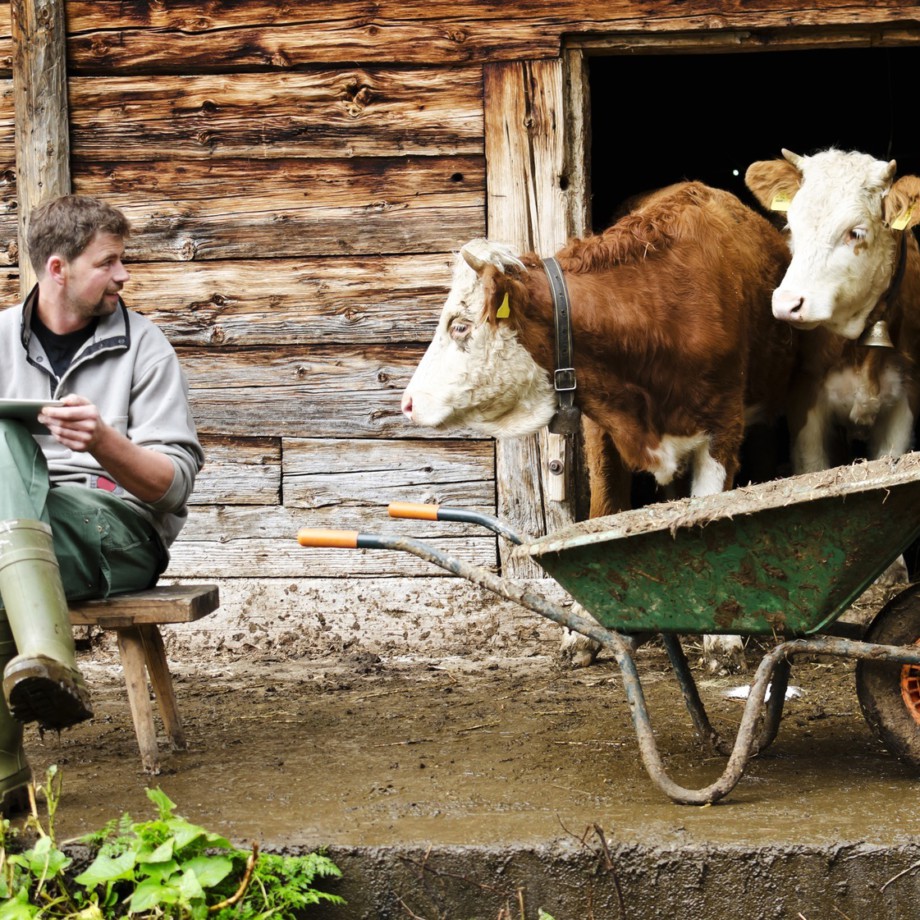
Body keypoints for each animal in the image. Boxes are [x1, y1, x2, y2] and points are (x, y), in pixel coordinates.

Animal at [402, 180, 796, 672]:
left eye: (459, 325)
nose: (407, 402)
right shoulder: (602, 428)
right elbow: (603, 515)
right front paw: (585, 630)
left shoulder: (725, 427)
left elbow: (713, 515)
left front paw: (723, 640)